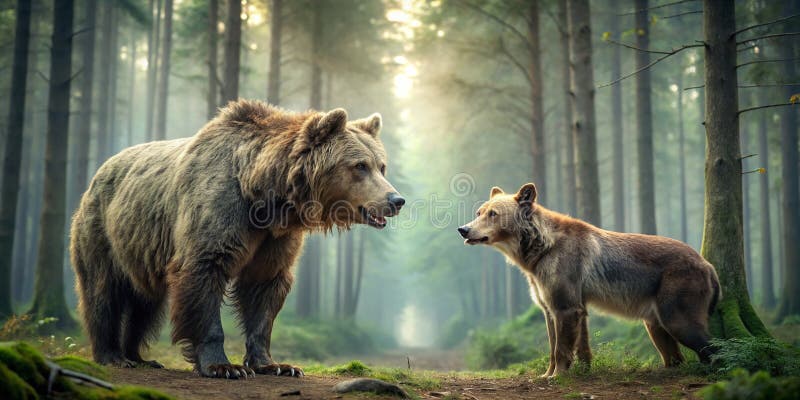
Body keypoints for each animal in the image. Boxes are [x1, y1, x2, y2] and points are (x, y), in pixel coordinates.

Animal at [70, 100, 405, 379]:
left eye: (381, 165)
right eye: (360, 165)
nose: (396, 199)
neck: (265, 197)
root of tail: (100, 170)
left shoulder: (273, 239)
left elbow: (264, 292)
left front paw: (276, 365)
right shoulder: (220, 215)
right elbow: (204, 276)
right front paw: (222, 366)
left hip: (142, 250)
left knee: (146, 303)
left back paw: (139, 356)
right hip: (102, 232)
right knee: (103, 291)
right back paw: (113, 355)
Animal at [457, 183, 720, 377]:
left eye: (493, 214)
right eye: (479, 212)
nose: (464, 229)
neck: (538, 253)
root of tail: (708, 264)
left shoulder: (564, 297)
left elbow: (562, 345)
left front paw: (558, 375)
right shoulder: (553, 301)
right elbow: (560, 343)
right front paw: (552, 372)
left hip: (677, 303)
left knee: (707, 343)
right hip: (654, 317)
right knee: (672, 353)